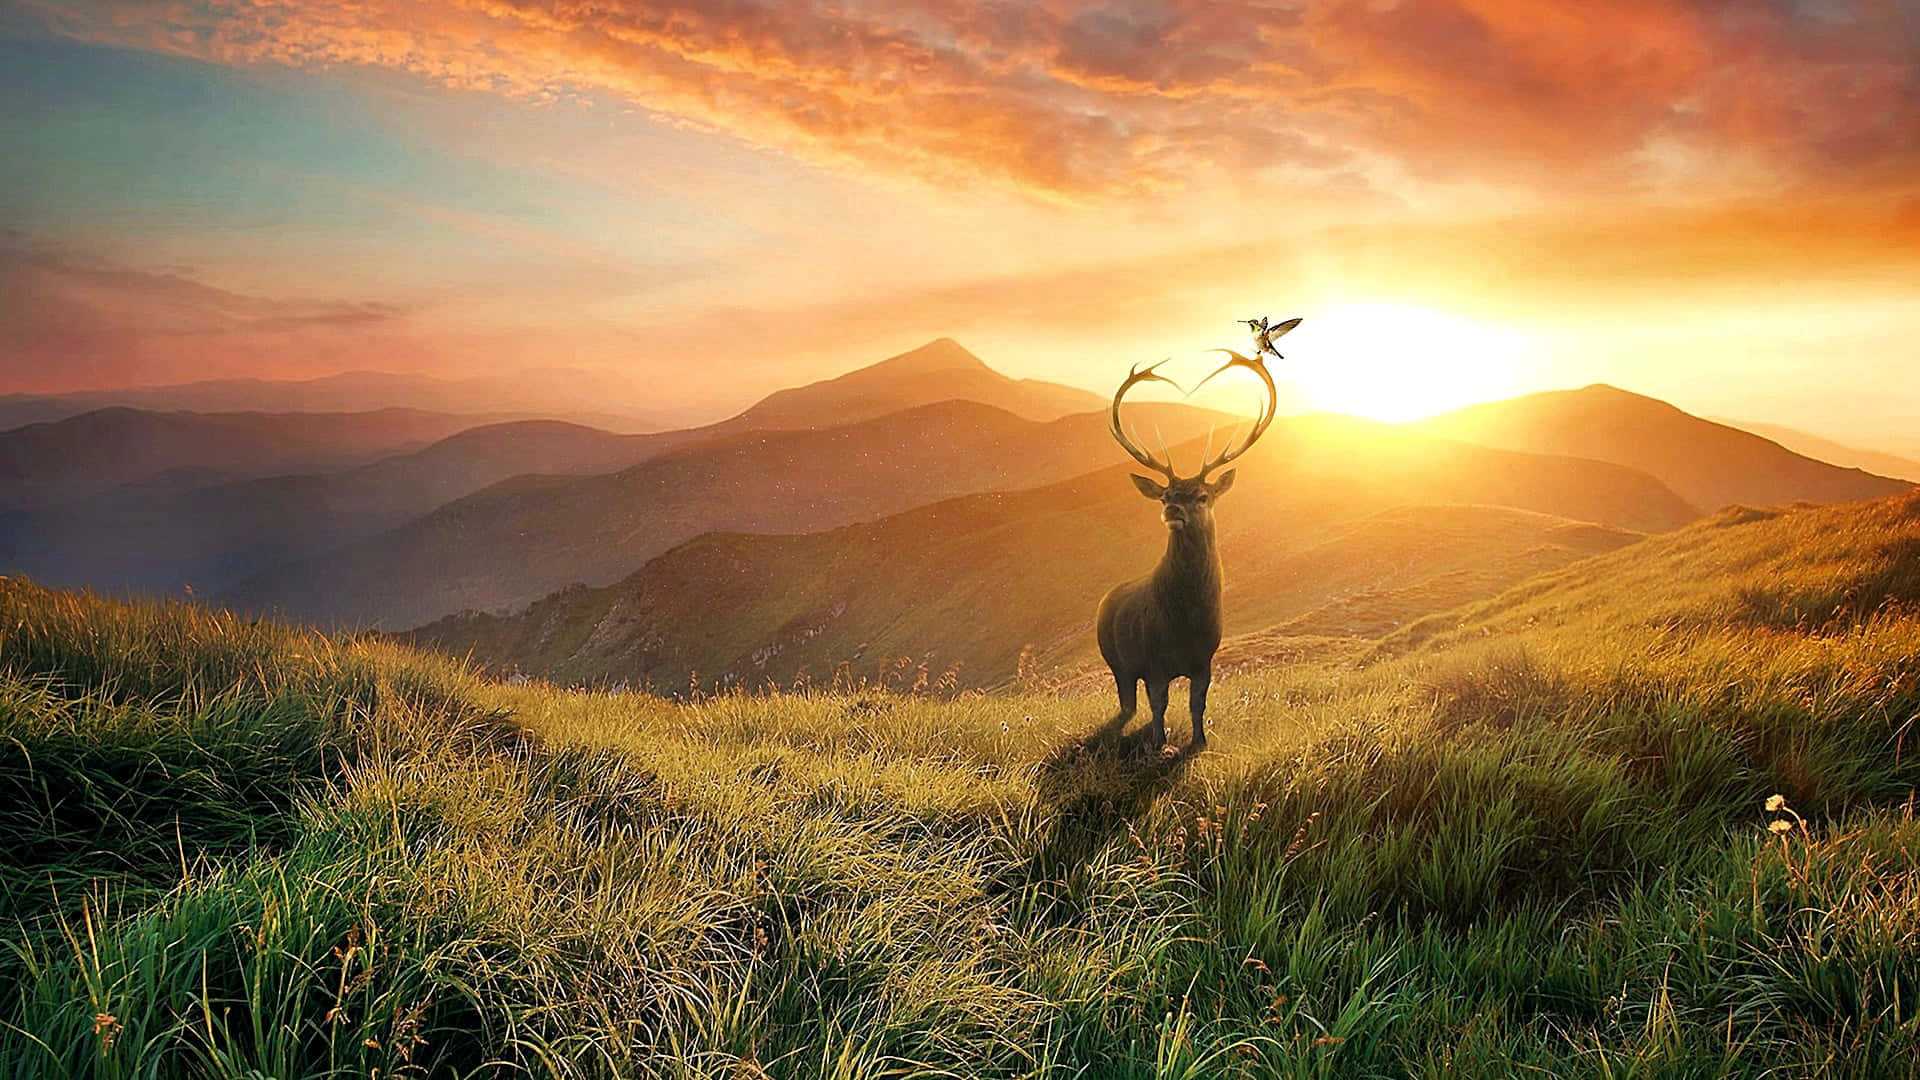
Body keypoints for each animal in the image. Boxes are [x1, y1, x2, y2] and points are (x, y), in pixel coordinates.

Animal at [1095, 319, 1290, 753]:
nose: (1173, 511)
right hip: (1115, 659)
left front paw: (1199, 741)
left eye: (1202, 496)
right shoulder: (1153, 661)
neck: (1185, 623)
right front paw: (1158, 744)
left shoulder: (1206, 659)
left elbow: (1198, 703)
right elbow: (1159, 704)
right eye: (1165, 496)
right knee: (1127, 702)